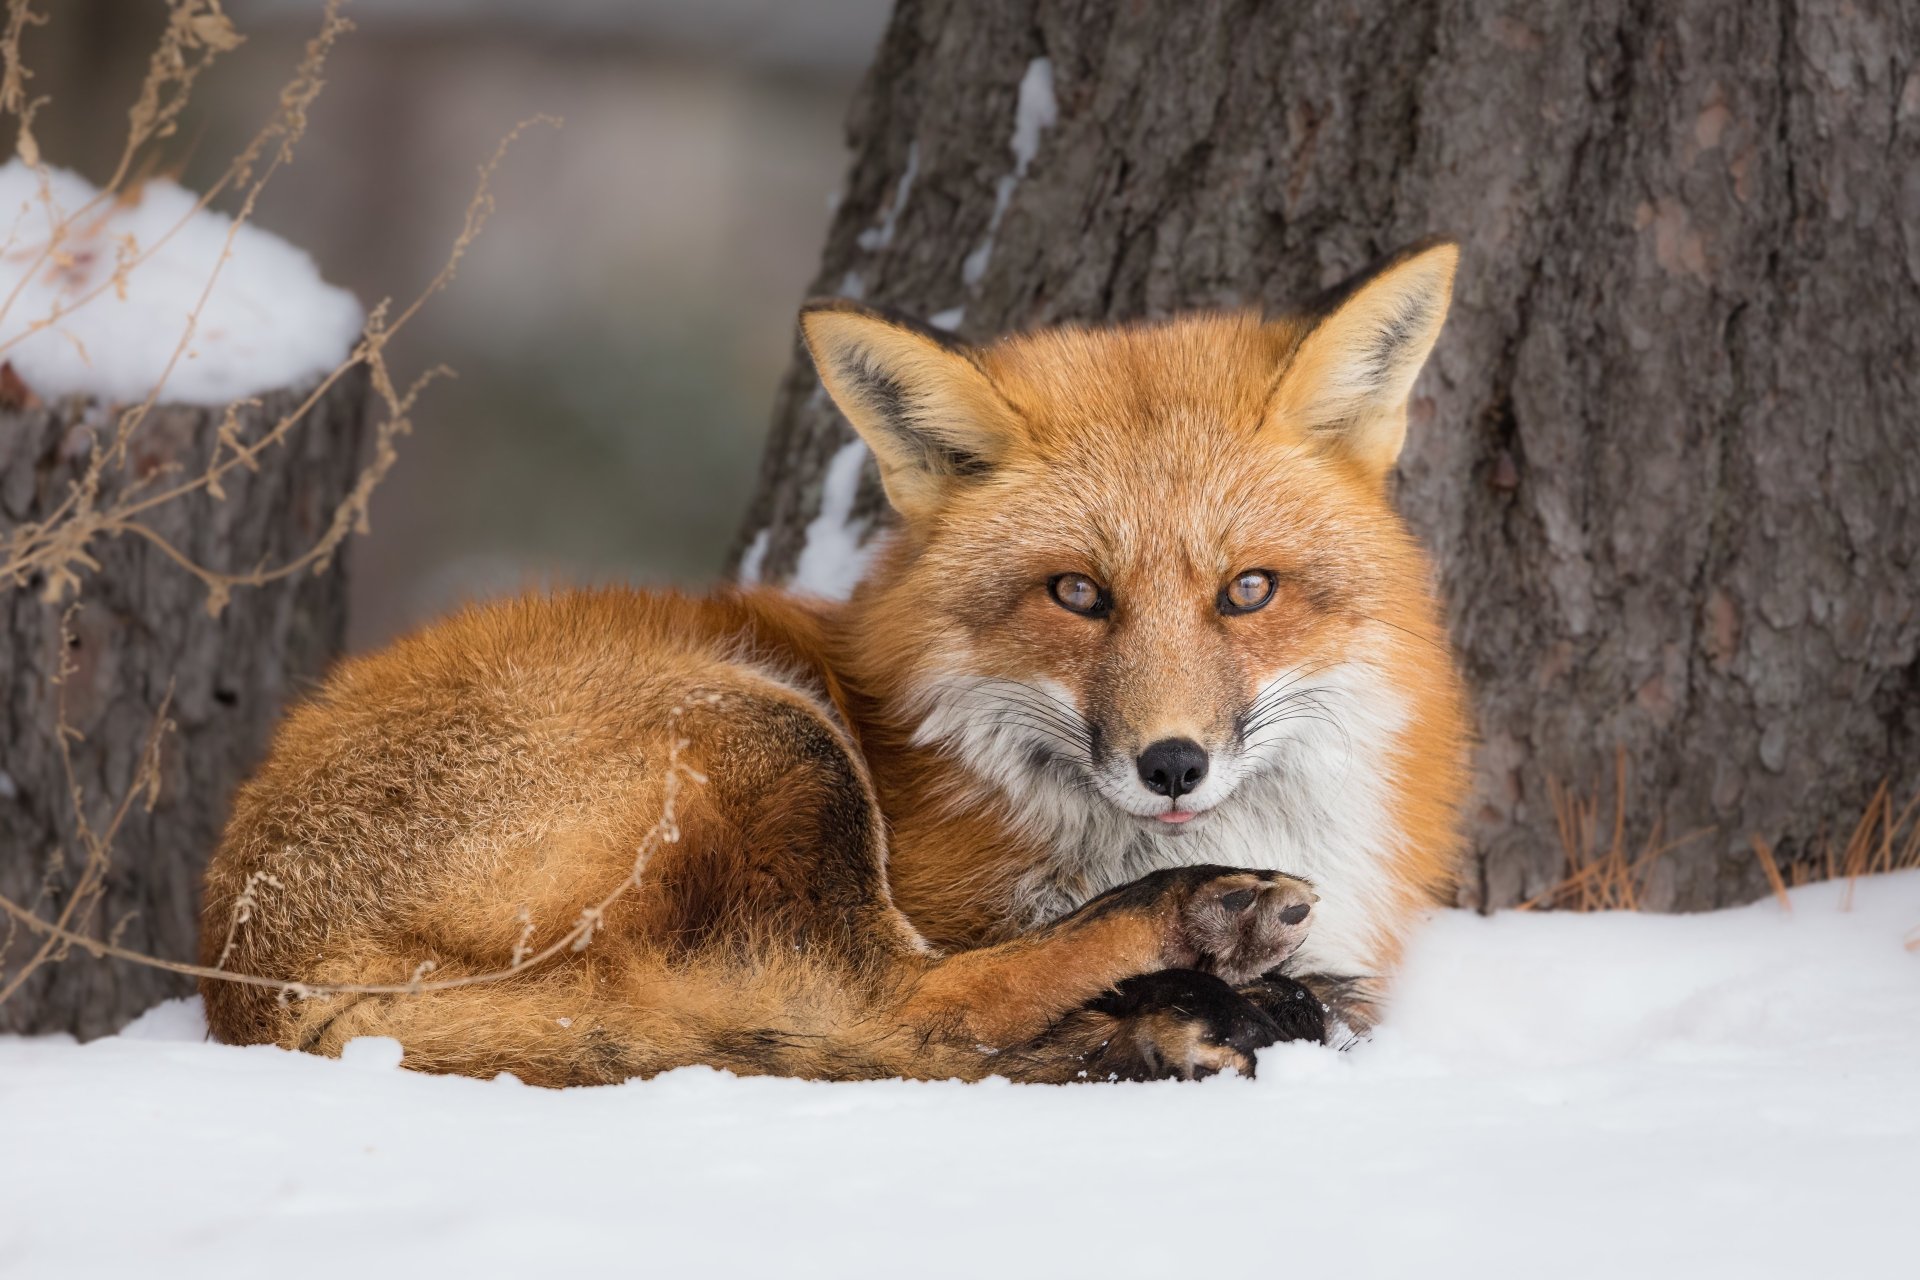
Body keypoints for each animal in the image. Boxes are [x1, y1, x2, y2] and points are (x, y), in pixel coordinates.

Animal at [199, 239, 1470, 1085]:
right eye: (1077, 593)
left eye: (1248, 589)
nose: (1172, 764)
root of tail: (243, 975)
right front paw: (1192, 979)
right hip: (771, 729)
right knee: (896, 1011)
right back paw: (1182, 944)